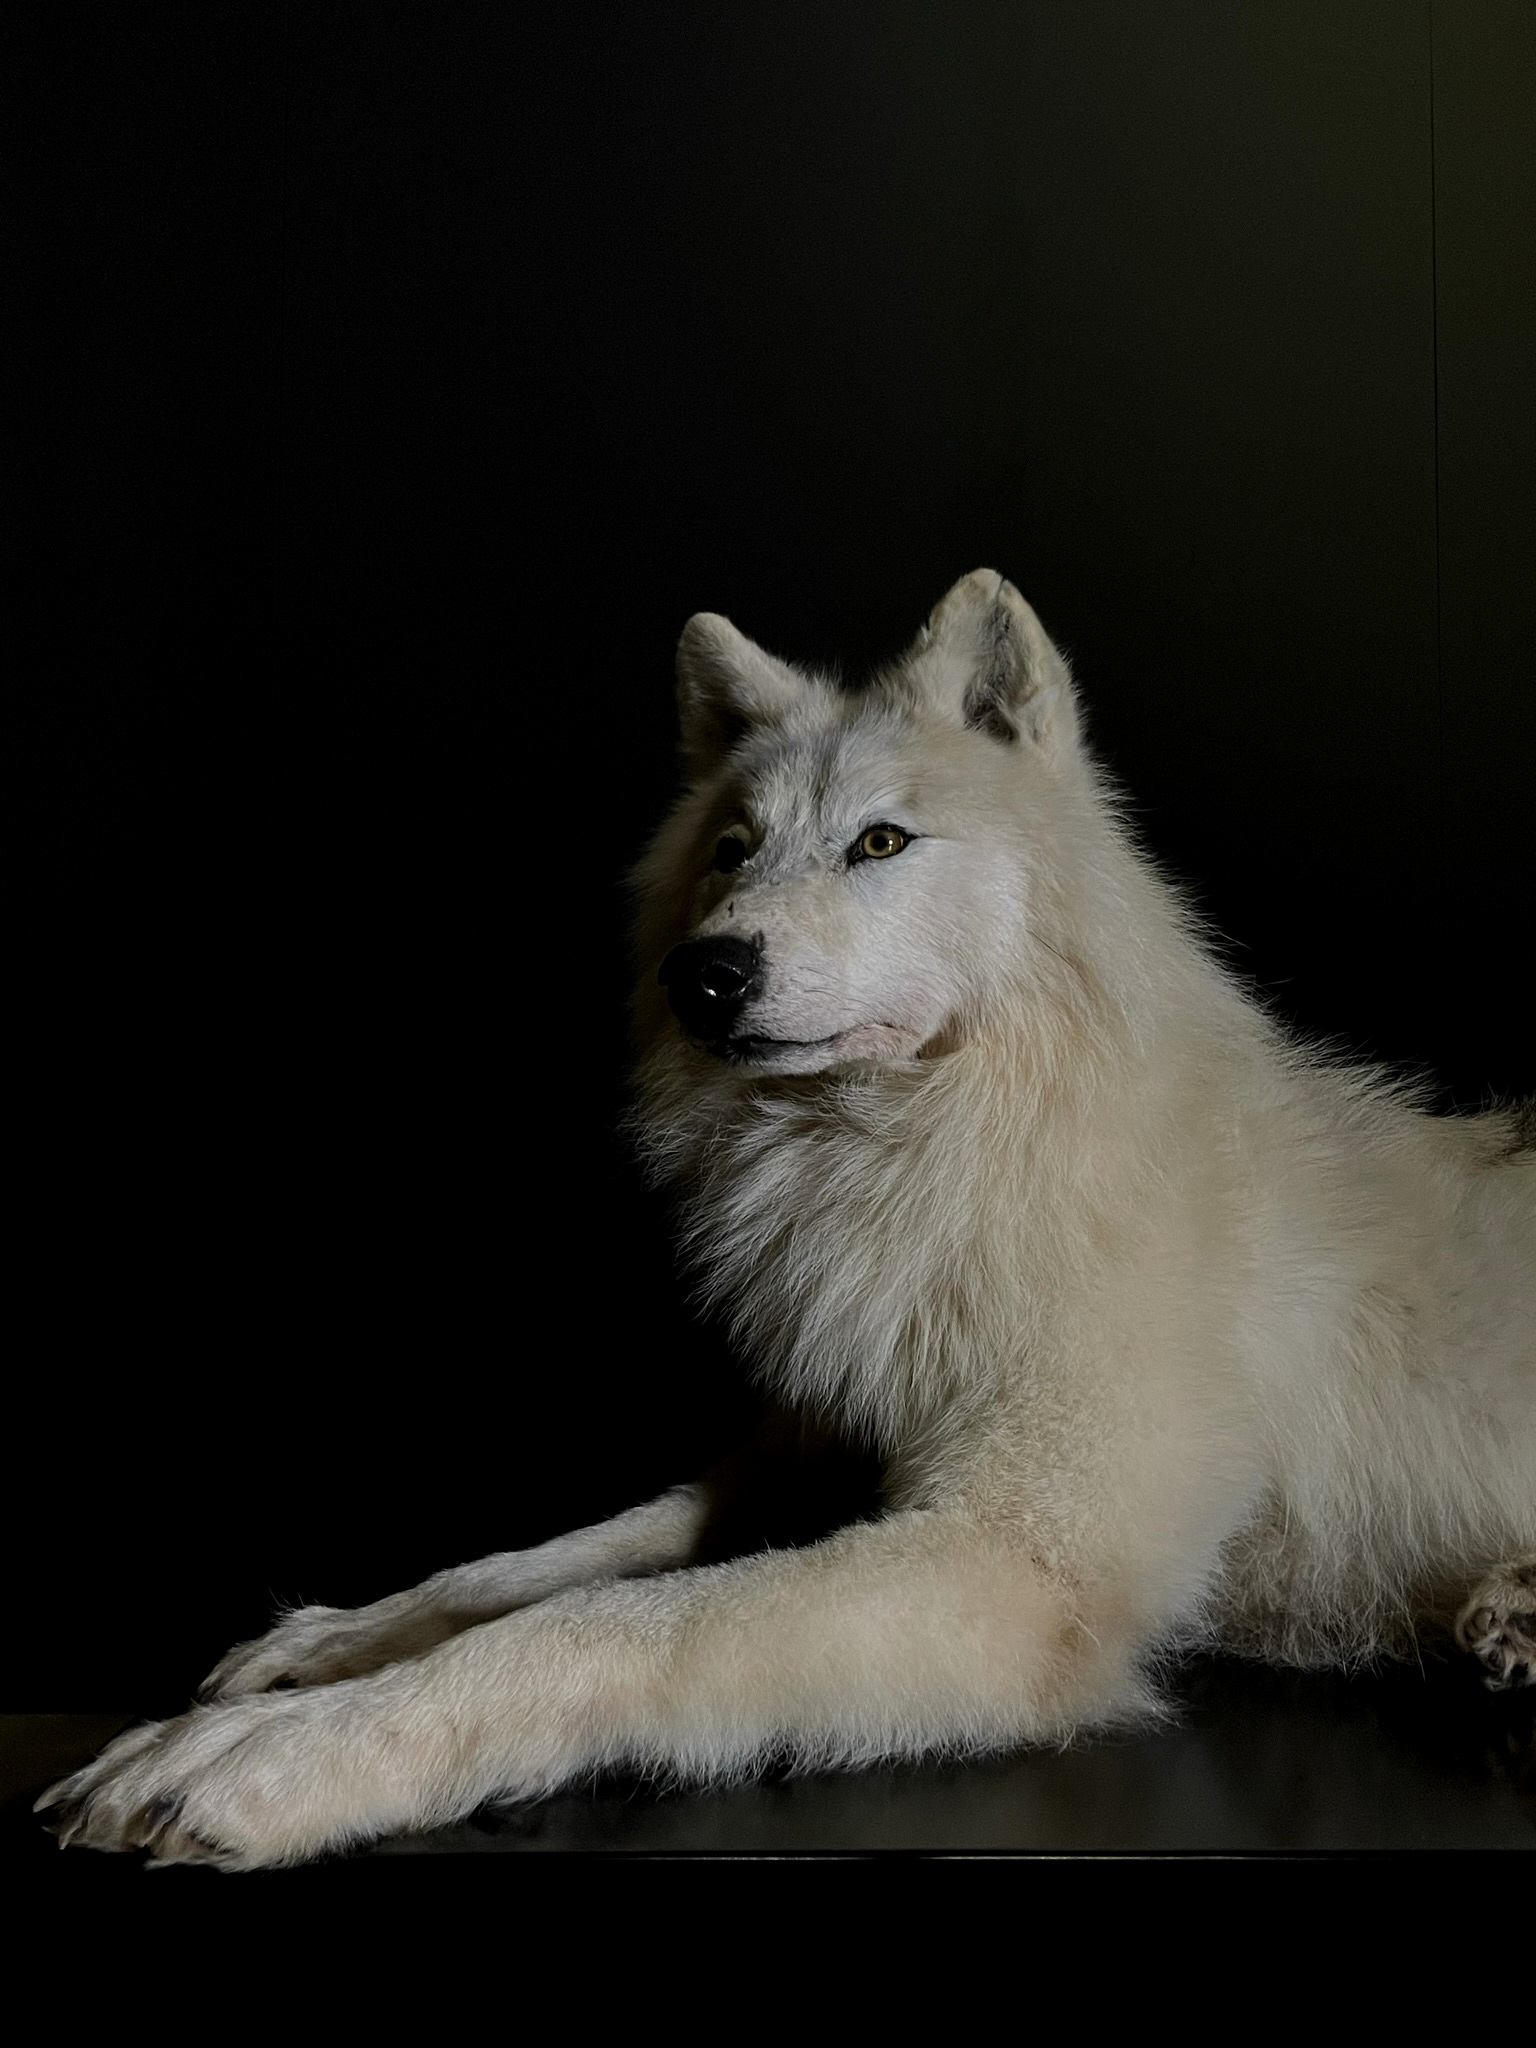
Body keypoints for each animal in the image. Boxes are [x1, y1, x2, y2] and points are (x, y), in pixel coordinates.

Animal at [40, 570, 1535, 1868]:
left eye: (880, 841)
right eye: (732, 852)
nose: (704, 974)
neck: (915, 1159)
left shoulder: (1013, 1567)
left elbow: (611, 1624)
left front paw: (275, 1756)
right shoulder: (793, 1461)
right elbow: (531, 1565)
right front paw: (325, 1644)